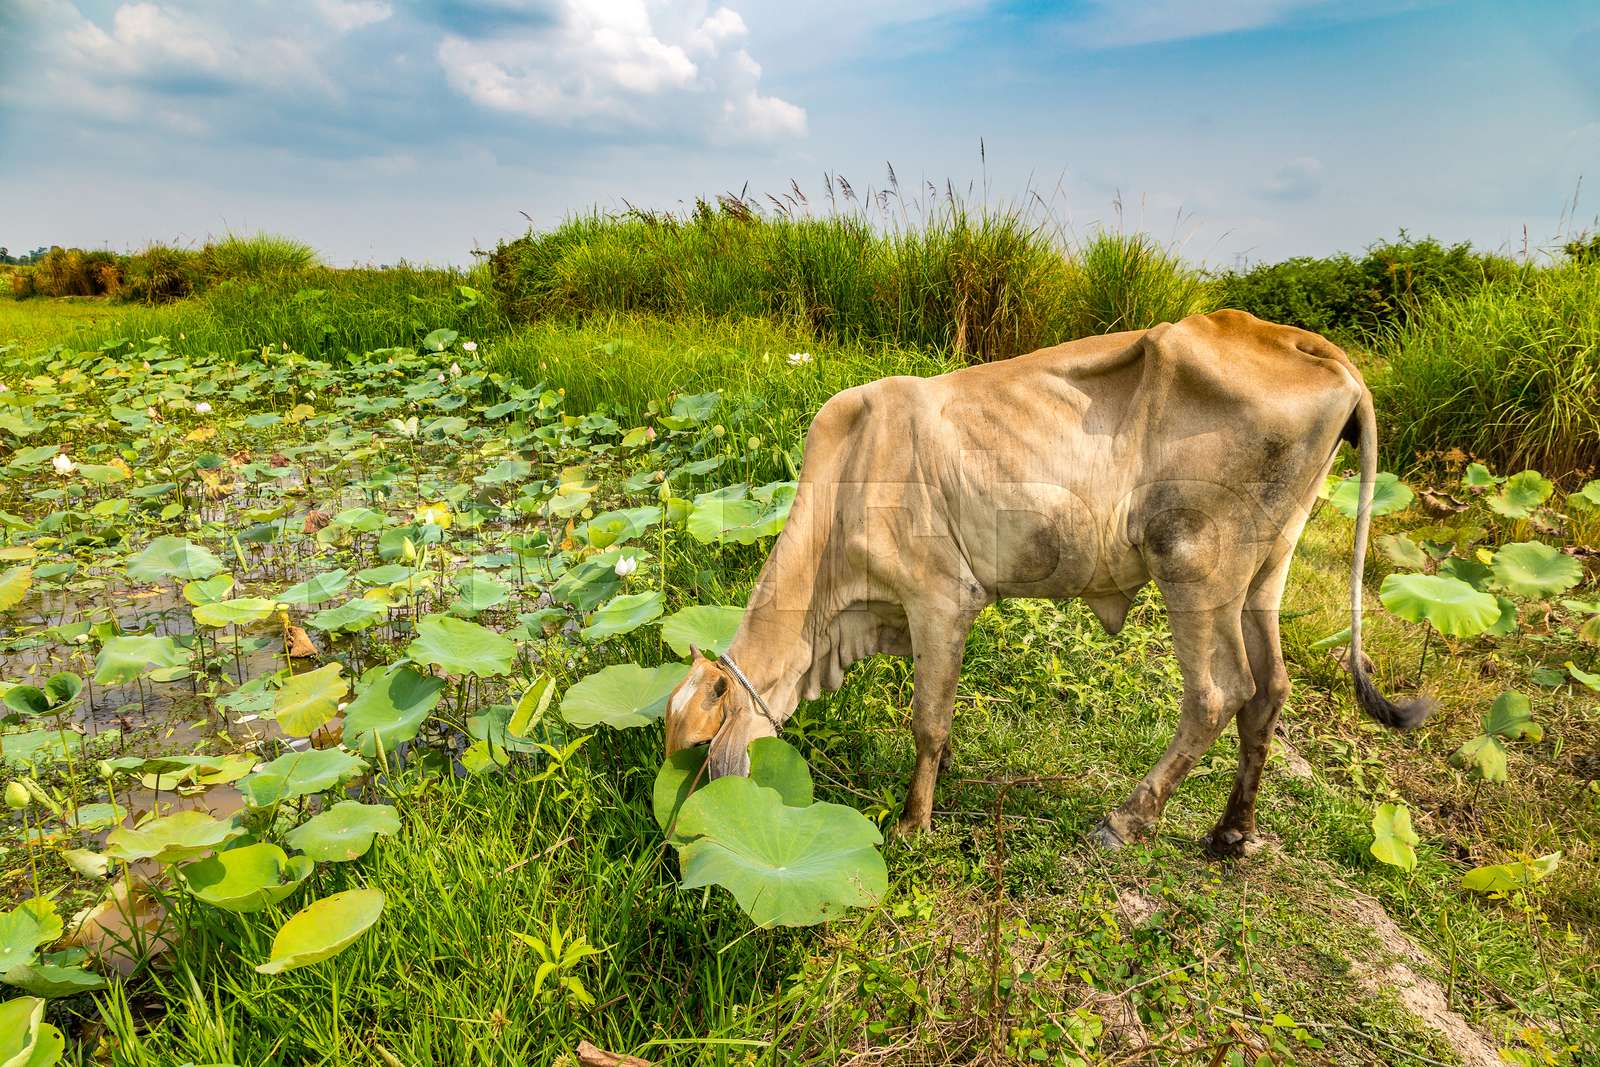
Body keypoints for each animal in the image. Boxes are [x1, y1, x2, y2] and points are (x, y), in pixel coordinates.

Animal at [664, 310, 1430, 856]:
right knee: (1269, 689)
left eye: (699, 746)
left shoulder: (941, 600)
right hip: (1263, 571)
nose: (678, 833)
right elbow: (940, 714)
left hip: (1191, 562)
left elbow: (927, 721)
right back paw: (1230, 832)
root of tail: (1310, 346)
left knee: (1218, 693)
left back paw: (1127, 820)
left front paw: (913, 822)